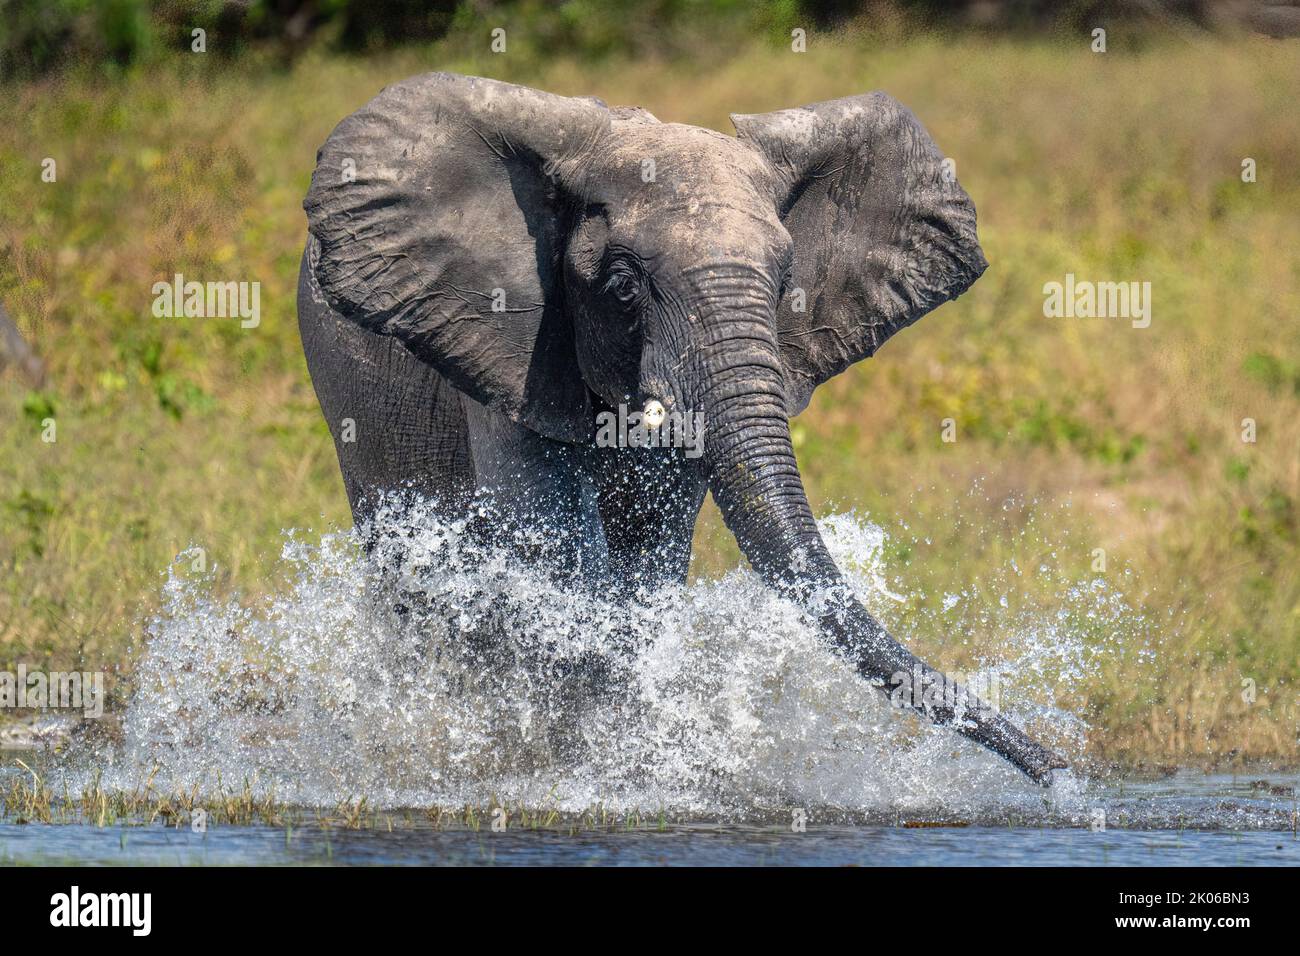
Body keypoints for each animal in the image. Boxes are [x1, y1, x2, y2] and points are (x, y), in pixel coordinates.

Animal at [297, 72, 1066, 784]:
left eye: (785, 279)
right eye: (624, 285)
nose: (1060, 771)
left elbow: (650, 551)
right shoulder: (504, 339)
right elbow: (548, 541)